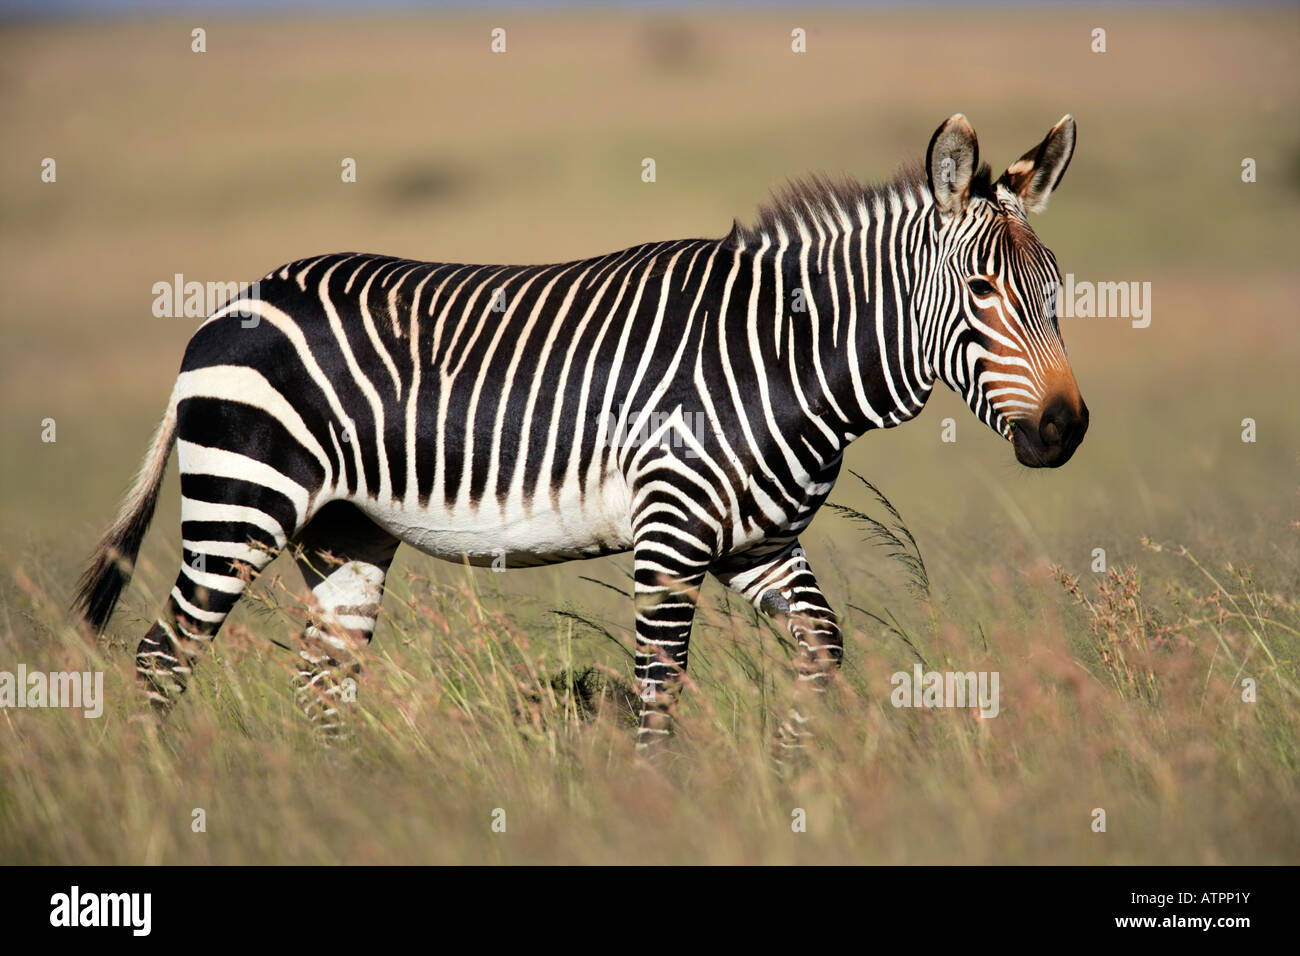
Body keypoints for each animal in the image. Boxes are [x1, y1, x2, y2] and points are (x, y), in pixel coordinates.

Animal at [74, 113, 1087, 752]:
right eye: (982, 291)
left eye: (1057, 291)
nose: (1066, 432)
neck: (783, 357)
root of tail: (226, 308)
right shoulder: (669, 534)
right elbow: (660, 688)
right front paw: (658, 805)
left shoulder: (758, 544)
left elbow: (822, 650)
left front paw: (793, 775)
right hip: (240, 506)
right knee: (163, 657)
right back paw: (157, 792)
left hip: (343, 531)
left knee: (323, 680)